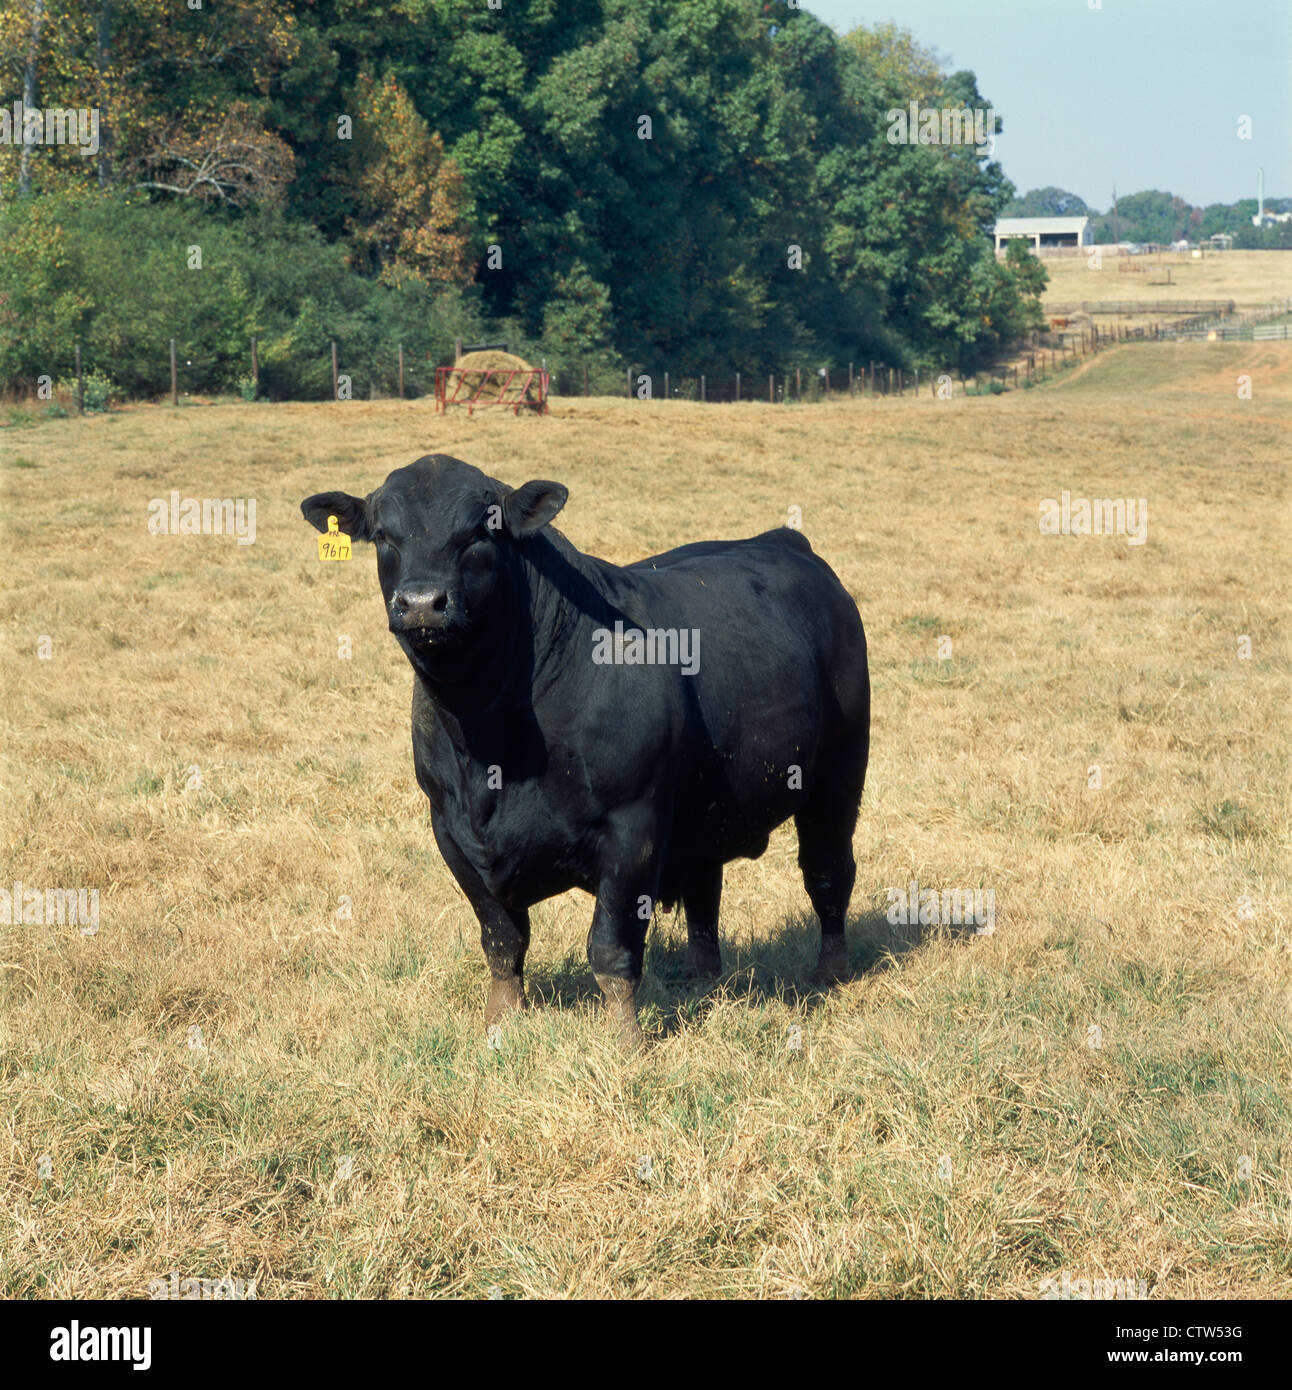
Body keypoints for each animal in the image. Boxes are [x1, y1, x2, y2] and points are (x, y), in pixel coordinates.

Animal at [301, 455, 869, 1047]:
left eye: (483, 529)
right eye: (383, 535)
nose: (420, 603)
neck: (492, 742)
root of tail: (782, 540)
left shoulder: (633, 826)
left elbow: (611, 948)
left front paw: (626, 1042)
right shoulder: (449, 829)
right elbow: (501, 939)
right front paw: (499, 1026)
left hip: (839, 773)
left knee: (827, 871)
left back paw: (830, 974)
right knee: (703, 889)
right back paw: (702, 980)